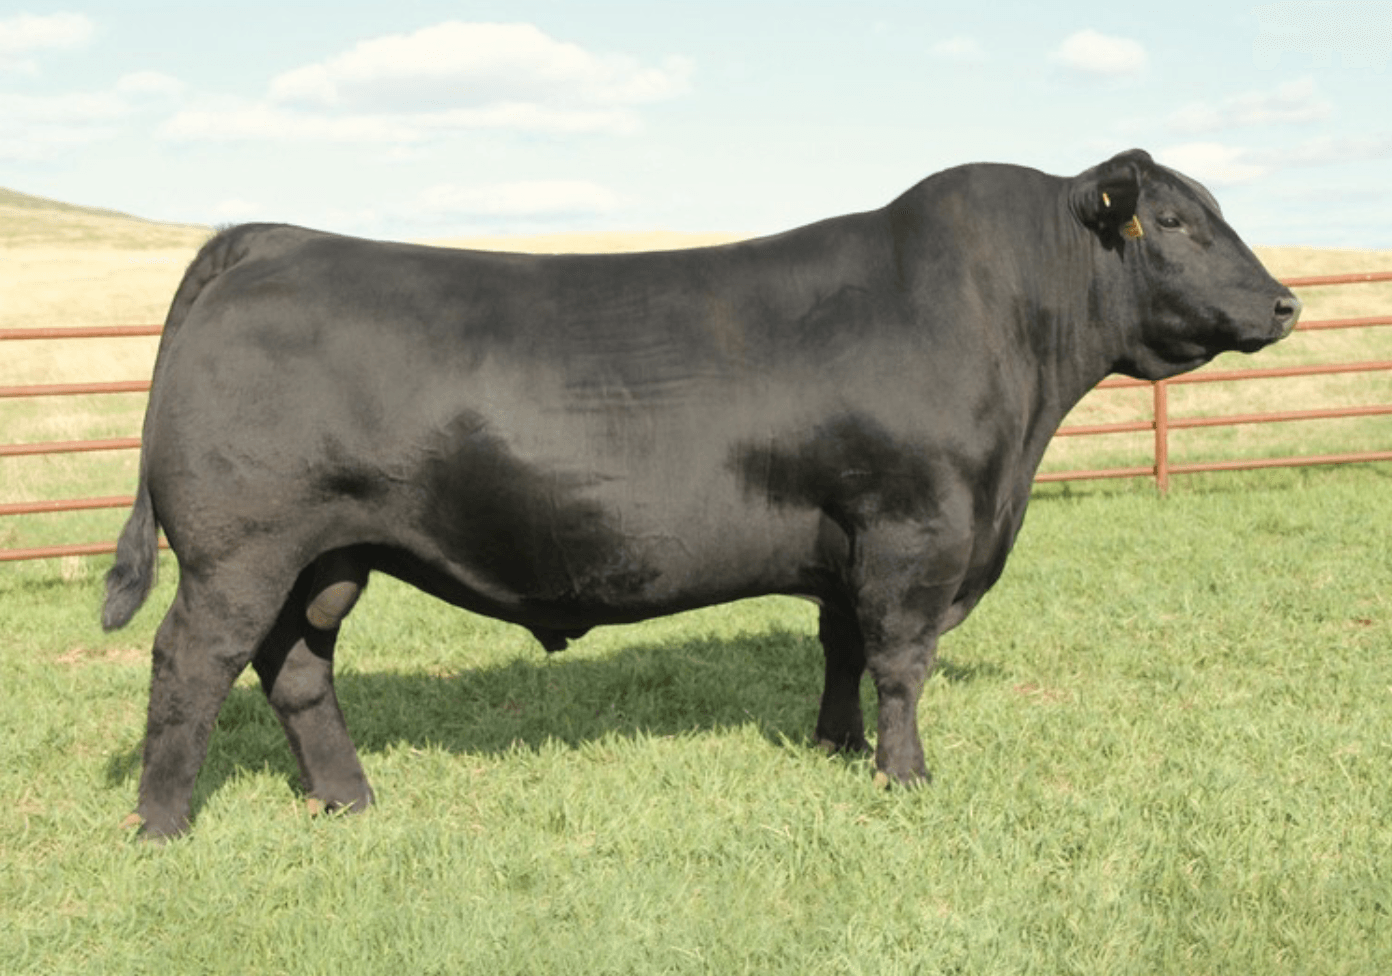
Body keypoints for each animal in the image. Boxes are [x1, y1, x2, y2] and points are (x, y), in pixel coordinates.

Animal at [102, 149, 1300, 839]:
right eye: (1176, 224)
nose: (1286, 301)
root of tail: (268, 240)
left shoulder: (847, 541)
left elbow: (841, 647)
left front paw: (833, 748)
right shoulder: (915, 529)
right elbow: (902, 663)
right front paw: (904, 777)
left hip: (324, 555)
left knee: (297, 668)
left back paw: (346, 800)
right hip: (241, 550)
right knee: (190, 663)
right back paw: (163, 827)